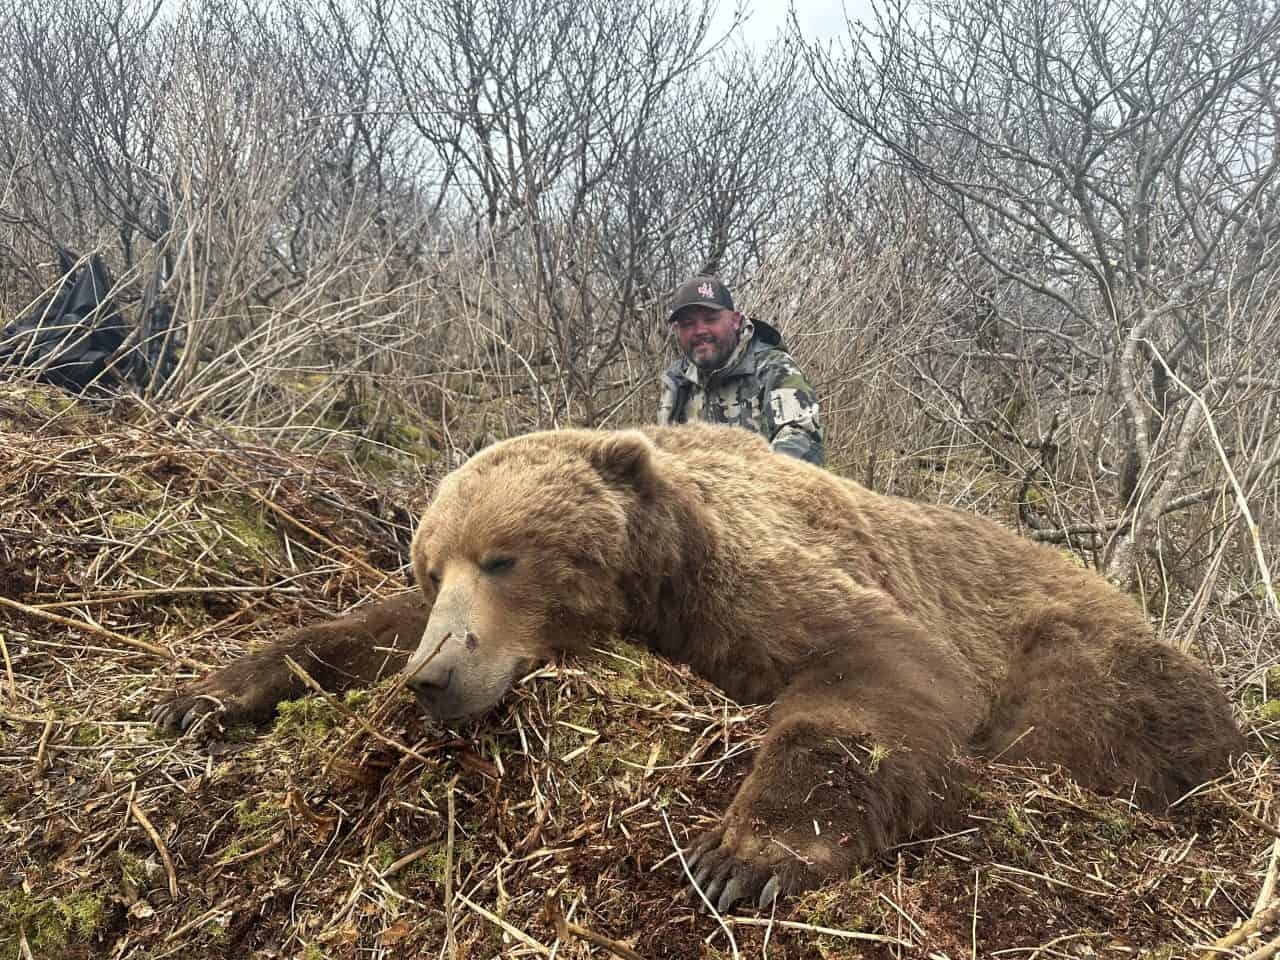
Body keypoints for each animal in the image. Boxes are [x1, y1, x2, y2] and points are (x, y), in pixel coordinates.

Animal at [153, 423, 1246, 912]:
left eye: (504, 557)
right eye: (432, 565)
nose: (435, 677)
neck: (658, 582)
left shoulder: (758, 589)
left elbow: (879, 673)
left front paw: (745, 855)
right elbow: (355, 630)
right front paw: (205, 693)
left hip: (1095, 660)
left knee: (1083, 727)